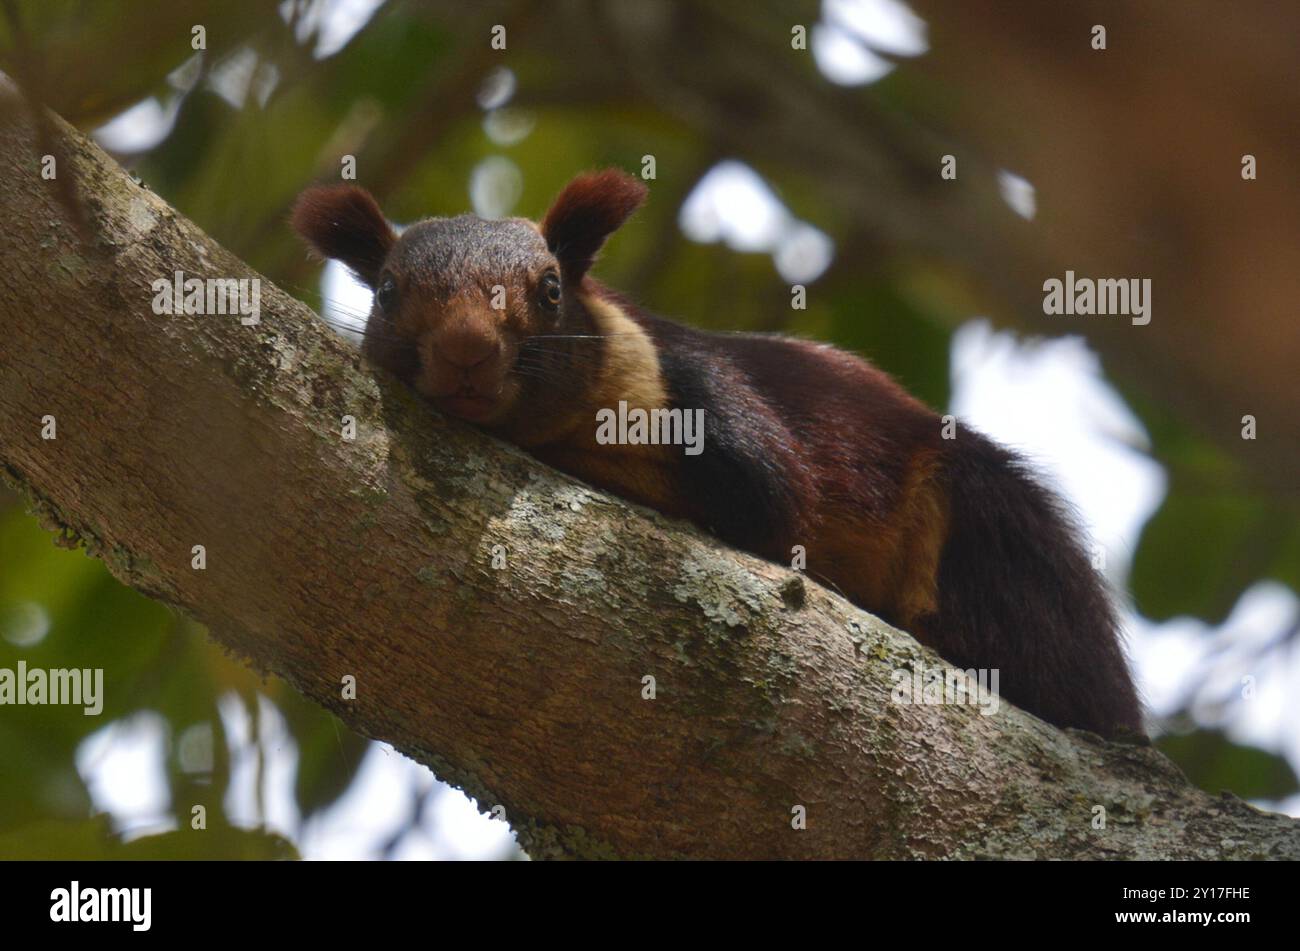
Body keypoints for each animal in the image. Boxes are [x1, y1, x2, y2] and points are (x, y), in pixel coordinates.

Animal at [292, 168, 1144, 738]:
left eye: (550, 288)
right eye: (387, 291)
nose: (466, 348)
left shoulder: (714, 398)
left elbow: (773, 497)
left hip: (990, 528)